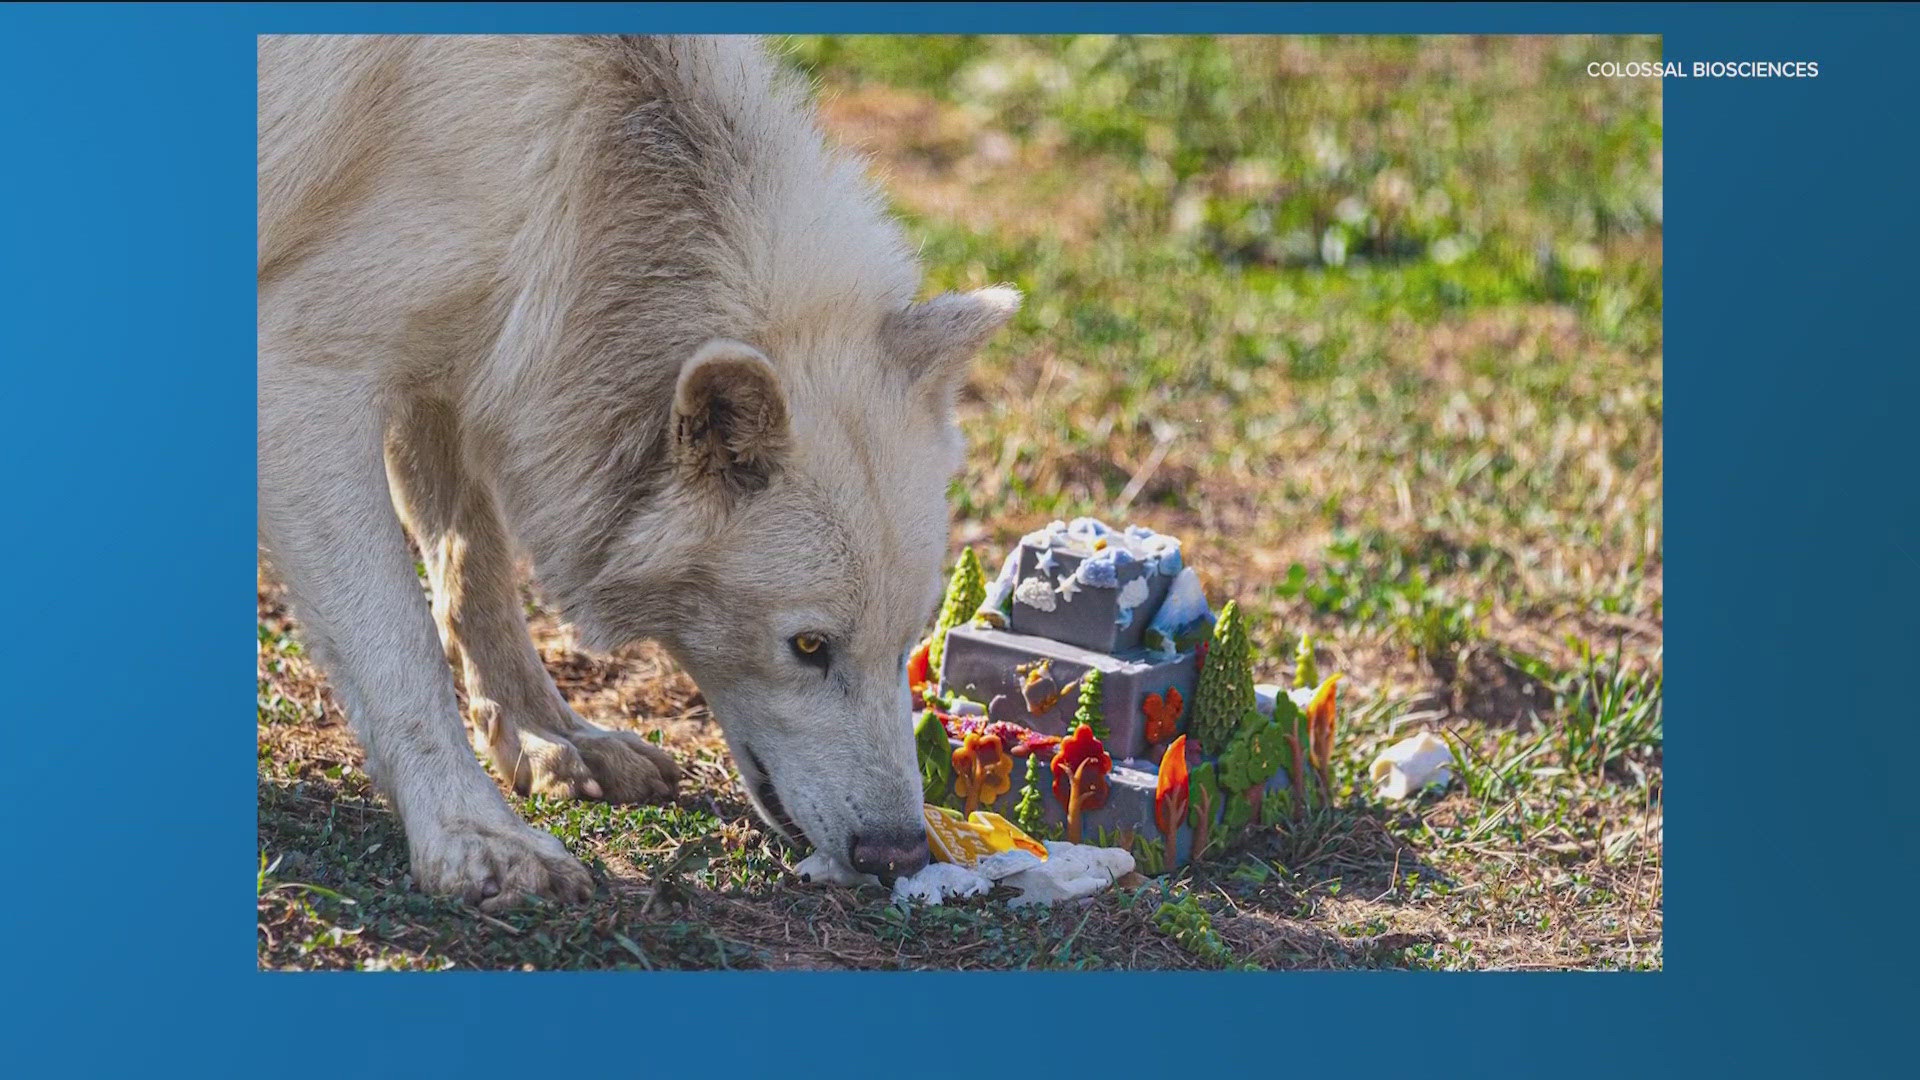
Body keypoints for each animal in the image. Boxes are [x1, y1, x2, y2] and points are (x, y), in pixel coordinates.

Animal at [258, 35, 1018, 909]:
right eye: (808, 646)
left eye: (910, 641)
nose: (898, 853)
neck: (581, 162)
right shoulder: (302, 380)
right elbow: (399, 639)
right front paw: (472, 838)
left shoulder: (463, 353)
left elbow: (473, 570)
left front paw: (551, 740)